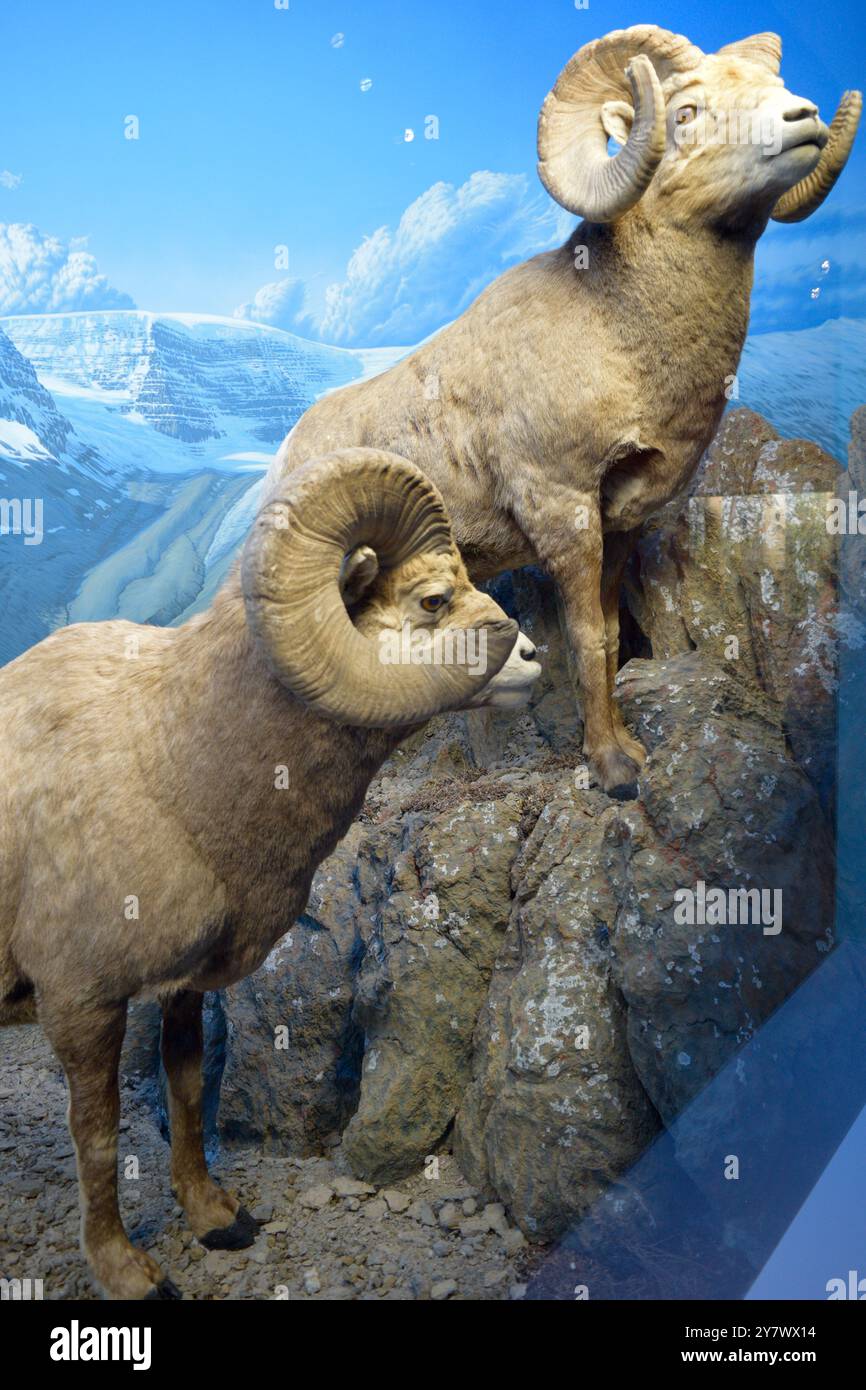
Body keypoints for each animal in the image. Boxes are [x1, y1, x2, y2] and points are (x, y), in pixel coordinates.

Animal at [0, 448, 540, 1299]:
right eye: (431, 598)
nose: (532, 659)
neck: (174, 769)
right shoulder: (81, 1005)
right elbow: (97, 1134)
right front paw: (128, 1273)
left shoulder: (184, 989)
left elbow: (190, 1092)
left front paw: (217, 1221)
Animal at [266, 26, 861, 797]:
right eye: (686, 112)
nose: (803, 119)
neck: (617, 333)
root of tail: (286, 452)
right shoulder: (564, 512)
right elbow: (579, 640)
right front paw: (612, 769)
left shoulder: (623, 521)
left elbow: (605, 638)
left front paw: (627, 748)